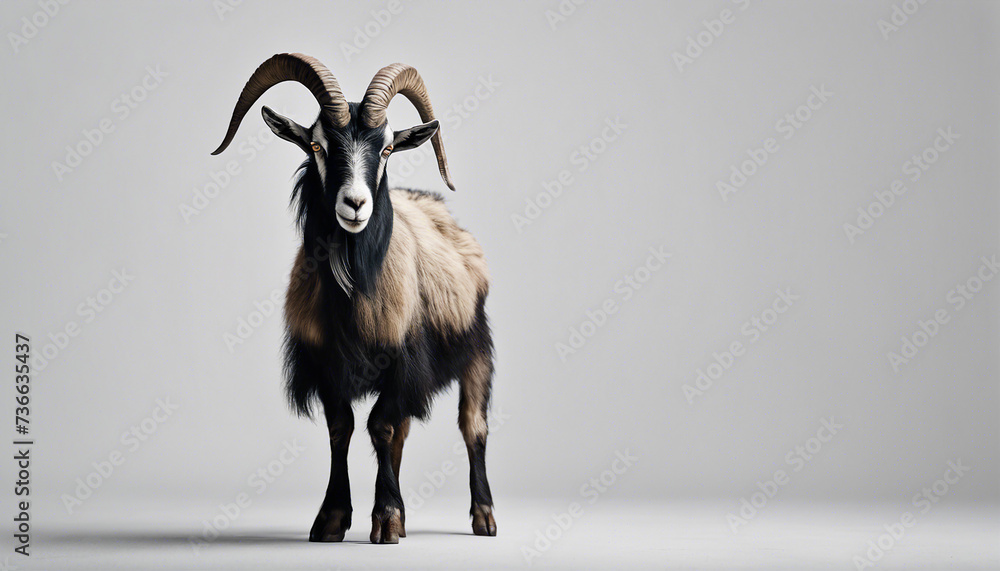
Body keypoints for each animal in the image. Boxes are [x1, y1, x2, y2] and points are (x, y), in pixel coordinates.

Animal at [212, 54, 496, 544]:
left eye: (386, 149)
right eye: (317, 145)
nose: (356, 204)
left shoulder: (403, 359)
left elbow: (380, 425)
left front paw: (385, 518)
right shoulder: (326, 363)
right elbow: (341, 428)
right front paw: (333, 518)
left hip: (476, 350)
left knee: (471, 427)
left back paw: (483, 518)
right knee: (403, 433)